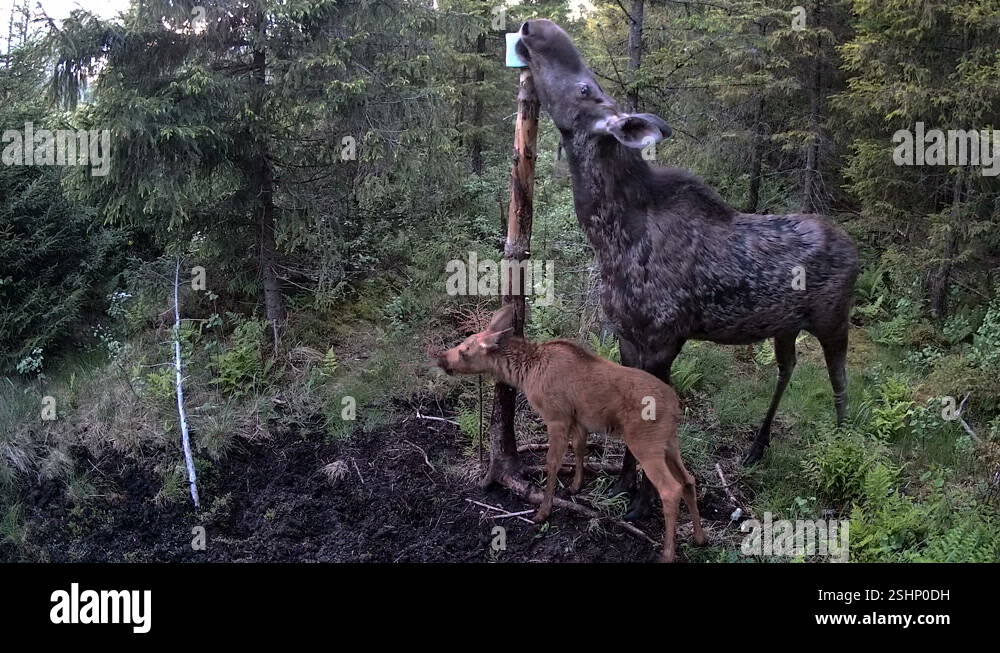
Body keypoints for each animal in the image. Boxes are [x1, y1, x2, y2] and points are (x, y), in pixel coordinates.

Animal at [436, 304, 706, 562]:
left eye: (465, 350)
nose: (441, 359)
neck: (526, 373)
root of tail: (676, 405)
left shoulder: (556, 417)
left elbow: (553, 463)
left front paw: (543, 512)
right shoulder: (578, 419)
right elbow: (579, 449)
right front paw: (575, 486)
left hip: (645, 443)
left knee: (671, 489)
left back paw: (667, 553)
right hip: (669, 442)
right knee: (689, 480)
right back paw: (700, 537)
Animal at [513, 19, 859, 520]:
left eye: (585, 88)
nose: (535, 27)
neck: (611, 237)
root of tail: (857, 248)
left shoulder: (664, 338)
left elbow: (651, 413)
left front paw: (642, 500)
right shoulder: (628, 334)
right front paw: (623, 485)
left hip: (833, 320)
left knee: (839, 376)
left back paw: (841, 441)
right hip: (784, 324)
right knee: (788, 366)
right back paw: (758, 445)